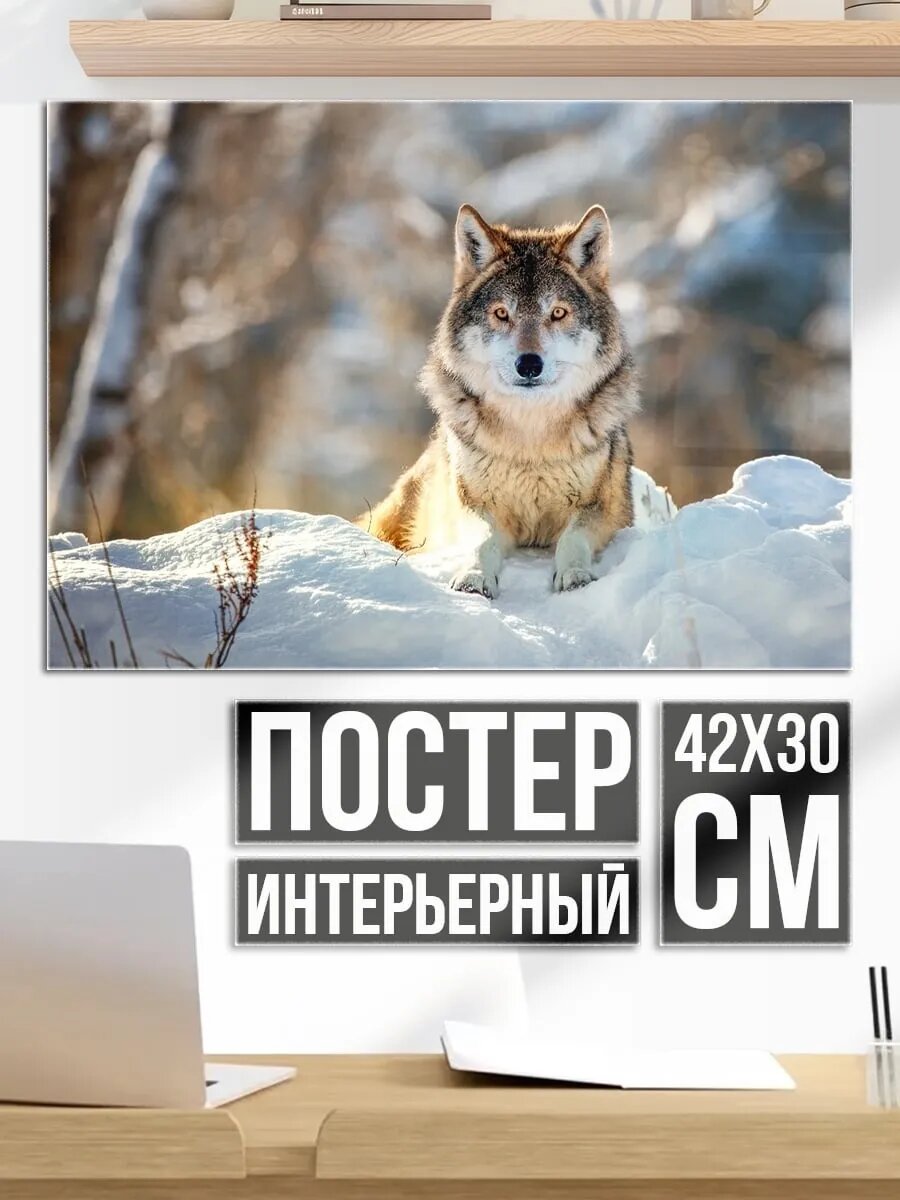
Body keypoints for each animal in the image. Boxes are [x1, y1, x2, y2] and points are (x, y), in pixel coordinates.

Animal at [362, 204, 640, 597]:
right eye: (501, 313)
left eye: (557, 313)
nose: (529, 364)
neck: (530, 443)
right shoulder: (472, 506)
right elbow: (482, 542)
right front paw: (475, 577)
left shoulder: (603, 509)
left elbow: (572, 540)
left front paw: (574, 575)